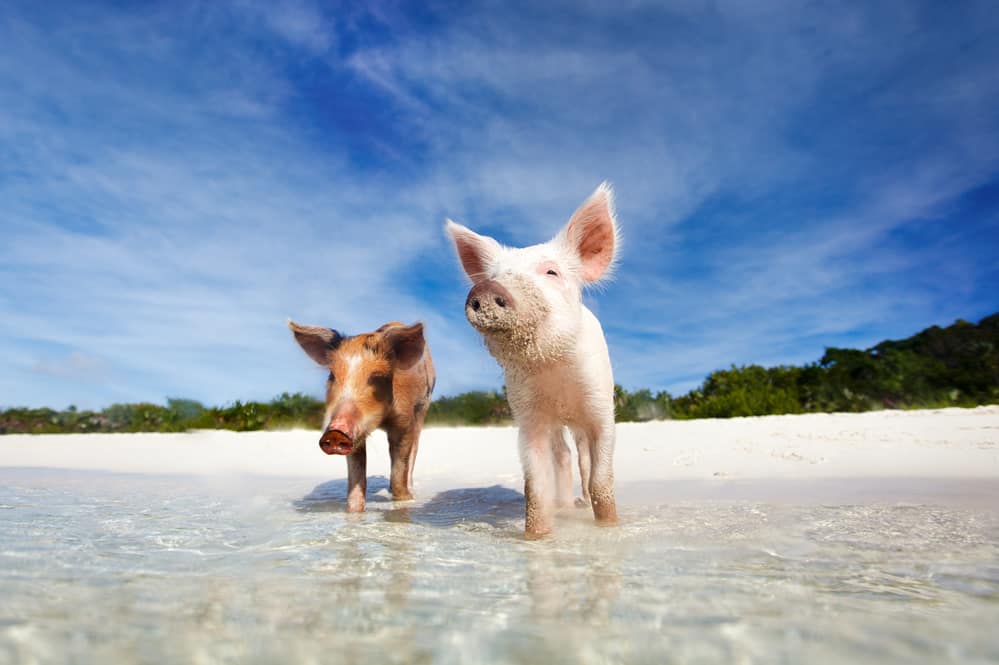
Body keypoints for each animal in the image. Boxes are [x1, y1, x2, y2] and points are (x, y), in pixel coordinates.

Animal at [288, 320, 435, 513]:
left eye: (377, 376)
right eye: (332, 375)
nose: (335, 433)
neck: (383, 420)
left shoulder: (405, 422)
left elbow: (399, 472)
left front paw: (406, 501)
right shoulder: (355, 437)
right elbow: (356, 482)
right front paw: (353, 513)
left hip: (423, 408)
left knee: (413, 451)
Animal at [445, 182, 620, 537]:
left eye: (551, 271)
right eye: (495, 275)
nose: (486, 289)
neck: (553, 369)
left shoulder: (601, 405)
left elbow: (600, 479)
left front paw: (610, 527)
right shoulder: (528, 415)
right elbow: (535, 488)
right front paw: (536, 537)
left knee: (582, 458)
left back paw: (581, 505)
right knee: (562, 456)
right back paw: (566, 506)